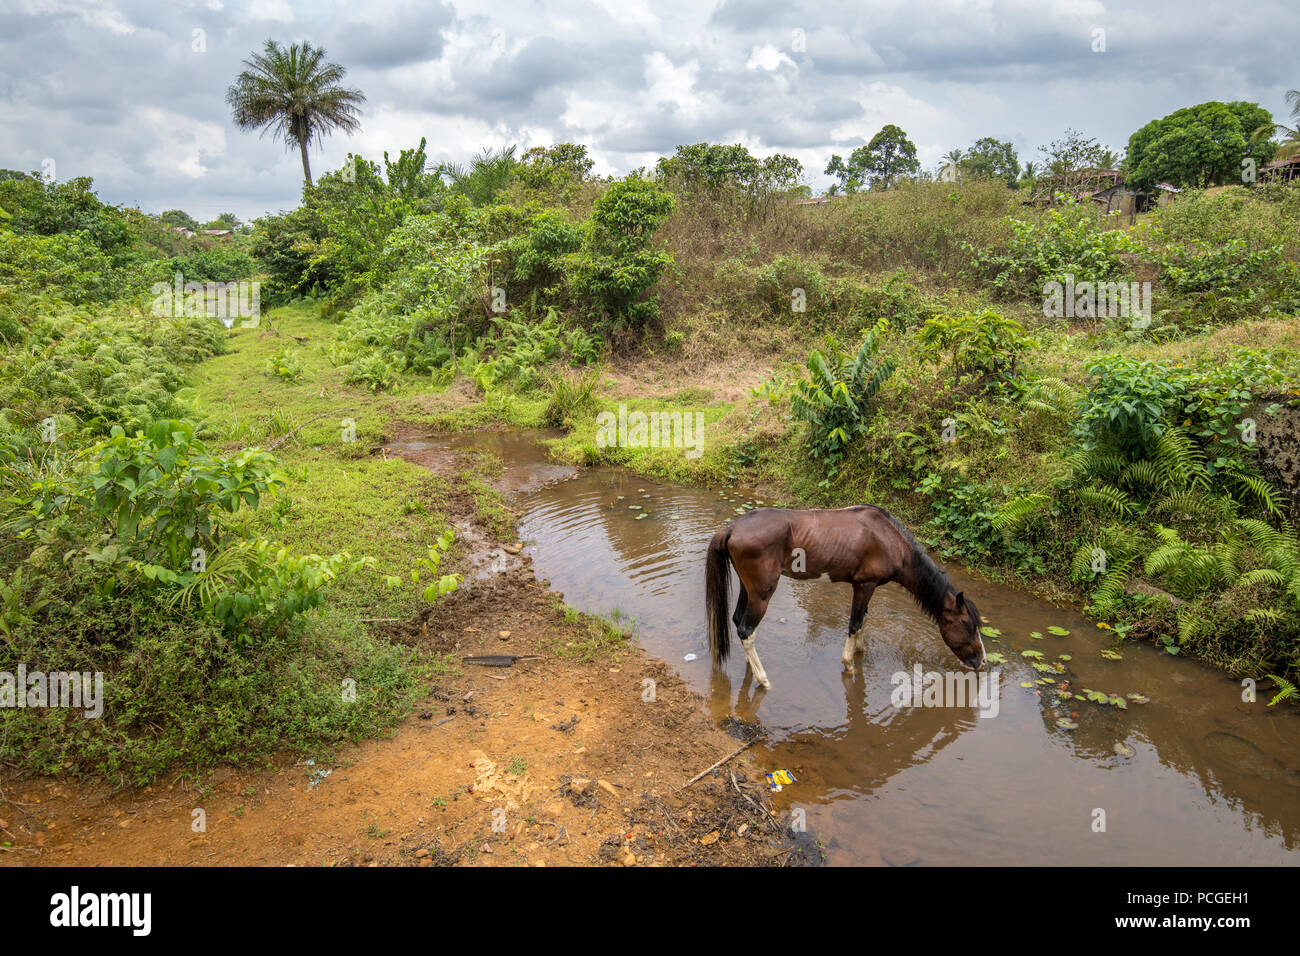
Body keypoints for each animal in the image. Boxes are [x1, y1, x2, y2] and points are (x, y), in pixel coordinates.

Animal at [705, 504, 985, 688]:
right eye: (966, 624)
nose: (981, 661)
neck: (889, 541)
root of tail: (732, 528)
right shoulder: (865, 585)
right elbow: (855, 623)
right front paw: (849, 663)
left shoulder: (864, 587)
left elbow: (862, 620)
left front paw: (860, 651)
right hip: (762, 593)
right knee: (746, 630)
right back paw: (763, 680)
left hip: (748, 589)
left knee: (737, 621)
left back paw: (752, 670)